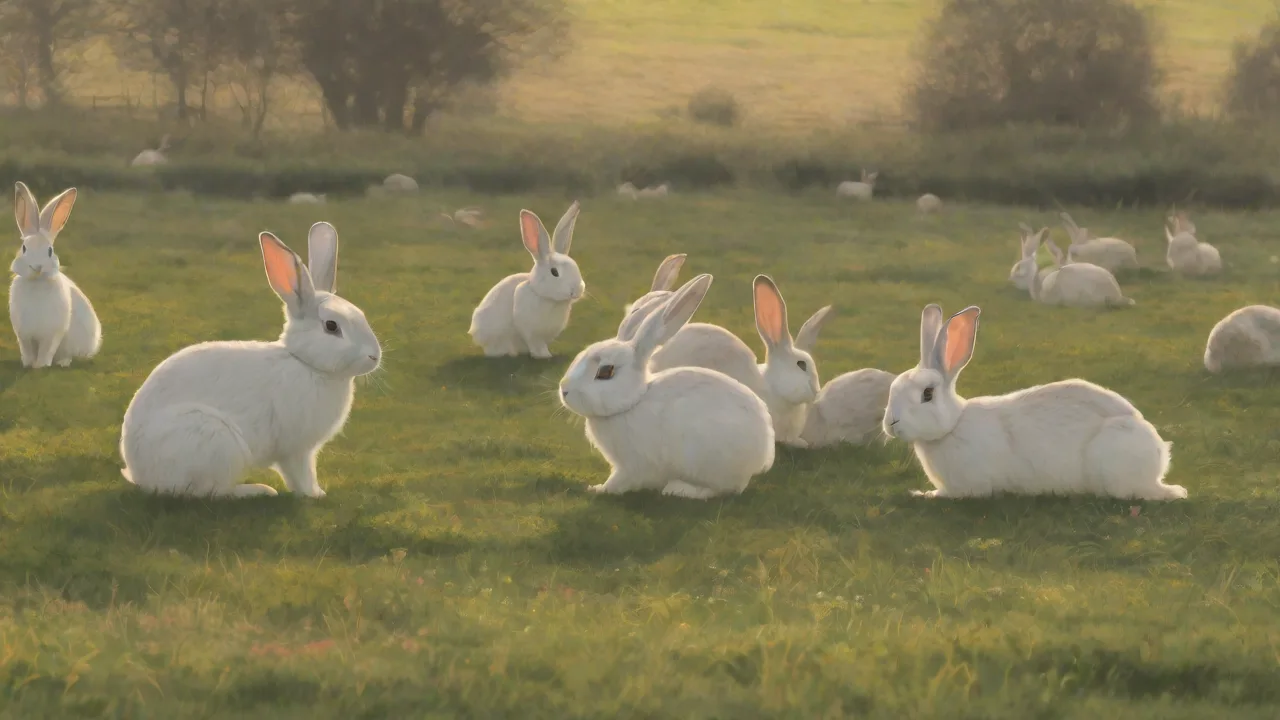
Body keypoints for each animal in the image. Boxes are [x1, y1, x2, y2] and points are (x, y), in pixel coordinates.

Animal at [9, 182, 102, 368]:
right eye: (24, 248)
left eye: (50, 251)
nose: (37, 266)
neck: (37, 282)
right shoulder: (24, 335)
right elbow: (28, 350)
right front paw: (28, 364)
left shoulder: (51, 334)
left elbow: (46, 350)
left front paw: (40, 366)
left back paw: (64, 362)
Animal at [120, 222, 381, 499]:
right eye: (332, 326)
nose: (374, 356)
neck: (306, 363)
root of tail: (140, 474)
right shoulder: (296, 450)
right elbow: (301, 474)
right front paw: (316, 495)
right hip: (214, 442)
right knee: (209, 491)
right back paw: (258, 490)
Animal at [469, 202, 585, 359]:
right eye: (554, 272)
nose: (577, 290)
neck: (547, 298)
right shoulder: (530, 332)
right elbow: (536, 344)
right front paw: (544, 356)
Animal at [558, 274, 775, 499]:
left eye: (605, 372)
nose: (564, 391)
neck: (633, 402)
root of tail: (764, 452)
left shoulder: (632, 466)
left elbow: (619, 481)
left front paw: (597, 489)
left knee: (723, 489)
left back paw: (679, 489)